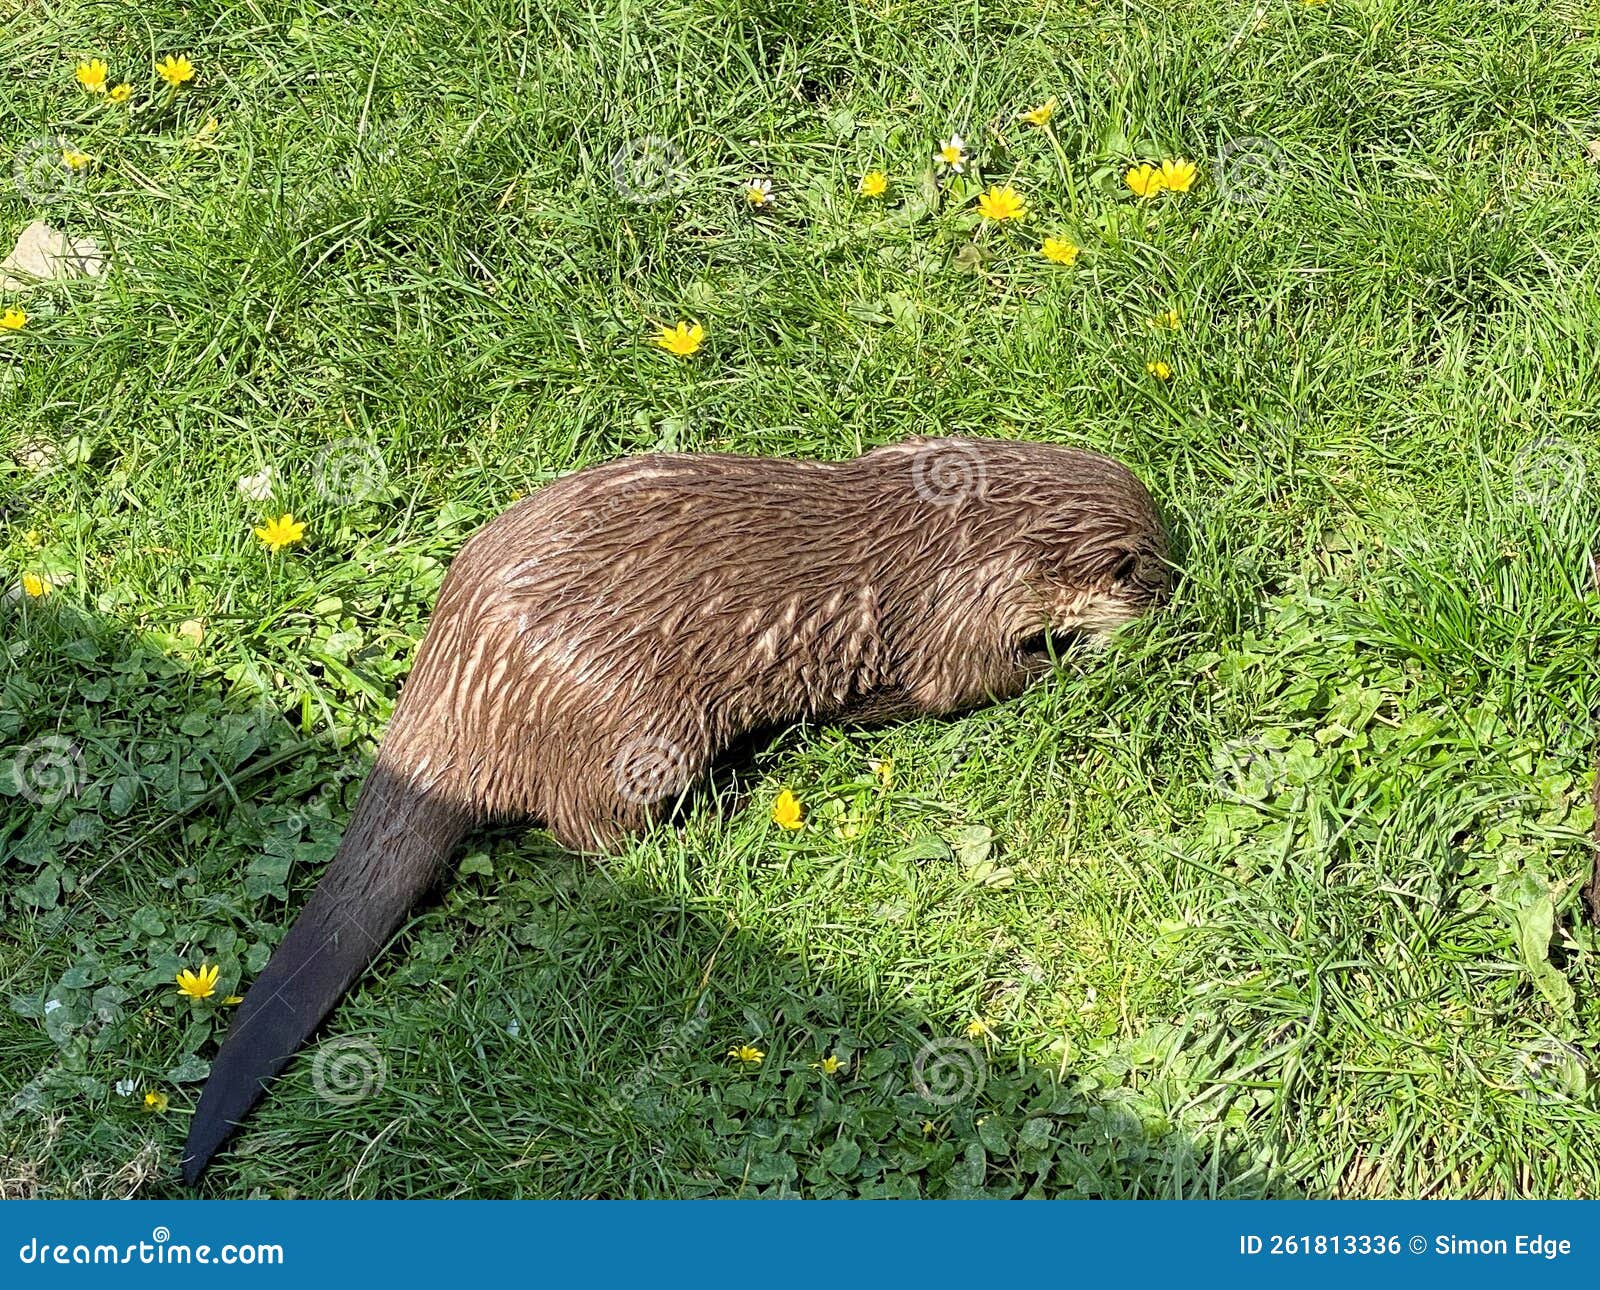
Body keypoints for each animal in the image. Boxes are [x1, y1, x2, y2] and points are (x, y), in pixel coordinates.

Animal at [182, 436, 1169, 1183]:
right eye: (1148, 576)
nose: (1182, 596)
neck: (958, 532)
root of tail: (464, 677)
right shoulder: (955, 616)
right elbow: (964, 685)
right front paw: (1073, 660)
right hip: (636, 726)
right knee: (585, 828)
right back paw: (724, 799)